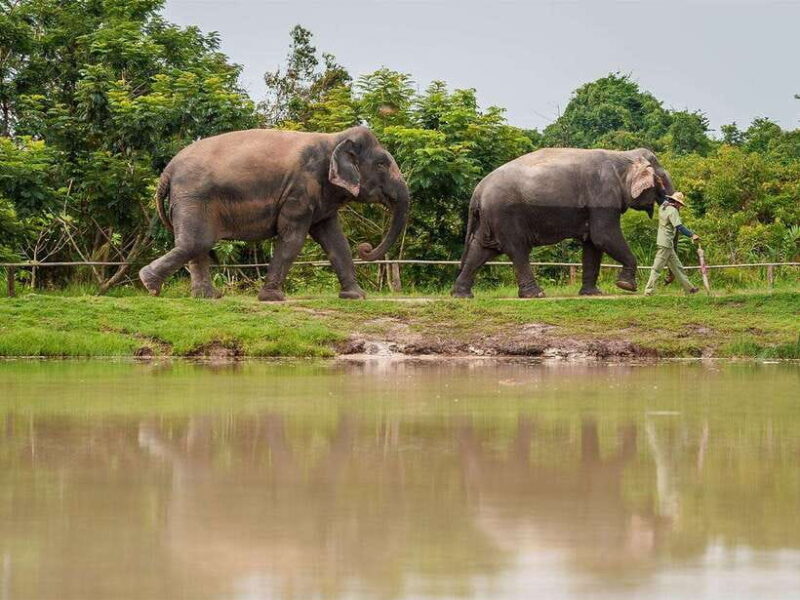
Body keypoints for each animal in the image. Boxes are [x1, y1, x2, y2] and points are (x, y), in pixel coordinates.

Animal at [138, 126, 409, 301]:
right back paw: (149, 284)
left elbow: (335, 240)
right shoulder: (300, 189)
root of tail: (168, 170)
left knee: (197, 245)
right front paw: (273, 298)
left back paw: (208, 297)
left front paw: (356, 296)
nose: (365, 248)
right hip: (193, 197)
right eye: (382, 164)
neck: (334, 139)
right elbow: (293, 238)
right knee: (197, 242)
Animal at [451, 148, 674, 298]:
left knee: (481, 249)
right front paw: (626, 286)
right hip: (504, 214)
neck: (624, 155)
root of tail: (478, 190)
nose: (668, 280)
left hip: (491, 217)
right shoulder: (603, 197)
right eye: (661, 180)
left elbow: (593, 244)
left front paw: (593, 294)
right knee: (518, 250)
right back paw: (536, 295)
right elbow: (604, 236)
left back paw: (462, 295)